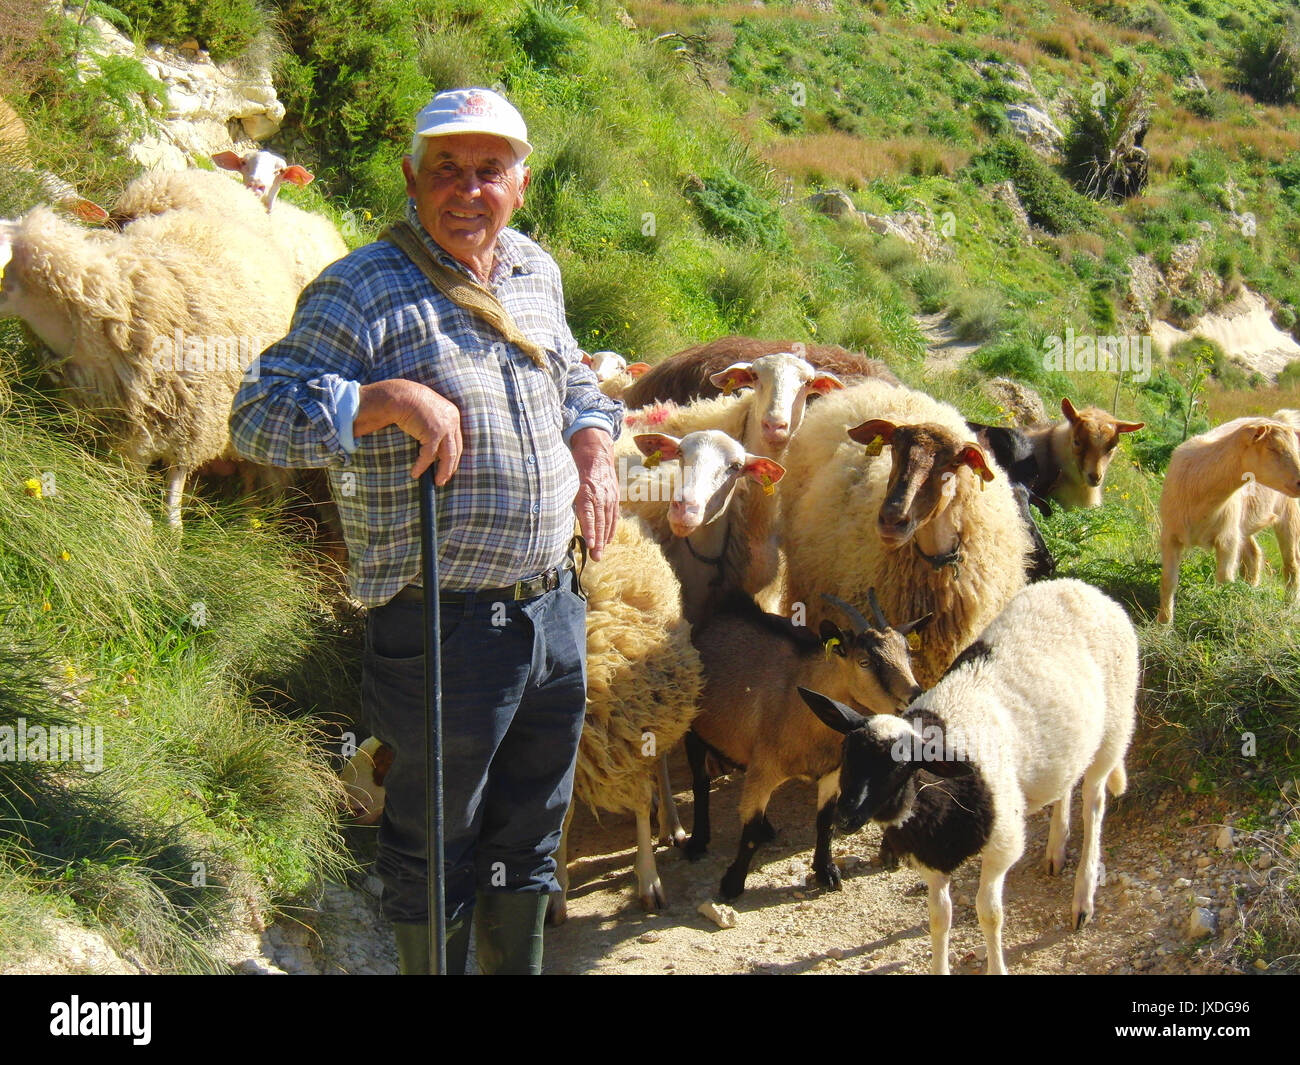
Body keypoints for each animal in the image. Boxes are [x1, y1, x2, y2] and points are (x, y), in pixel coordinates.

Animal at [687, 589, 929, 900]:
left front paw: (826, 872)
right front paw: (732, 885)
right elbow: (749, 830)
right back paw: (697, 842)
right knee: (700, 781)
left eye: (908, 654)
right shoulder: (764, 770)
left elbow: (824, 822)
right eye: (864, 662)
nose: (914, 696)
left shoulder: (831, 773)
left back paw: (767, 828)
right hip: (694, 730)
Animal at [800, 577, 1138, 975]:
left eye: (900, 766)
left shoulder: (1002, 846)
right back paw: (1056, 850)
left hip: (1115, 727)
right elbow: (939, 918)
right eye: (847, 755)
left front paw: (997, 967)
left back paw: (1082, 900)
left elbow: (989, 913)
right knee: (1066, 783)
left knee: (1094, 803)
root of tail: (1080, 586)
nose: (845, 816)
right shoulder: (931, 858)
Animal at [1157, 414, 1300, 624]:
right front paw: (1164, 624)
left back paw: (1288, 609)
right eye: (1273, 449)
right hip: (1243, 523)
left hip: (1288, 515)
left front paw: (1220, 617)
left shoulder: (1227, 540)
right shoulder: (1170, 536)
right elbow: (1168, 580)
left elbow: (1224, 582)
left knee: (1292, 565)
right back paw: (1251, 591)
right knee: (1254, 554)